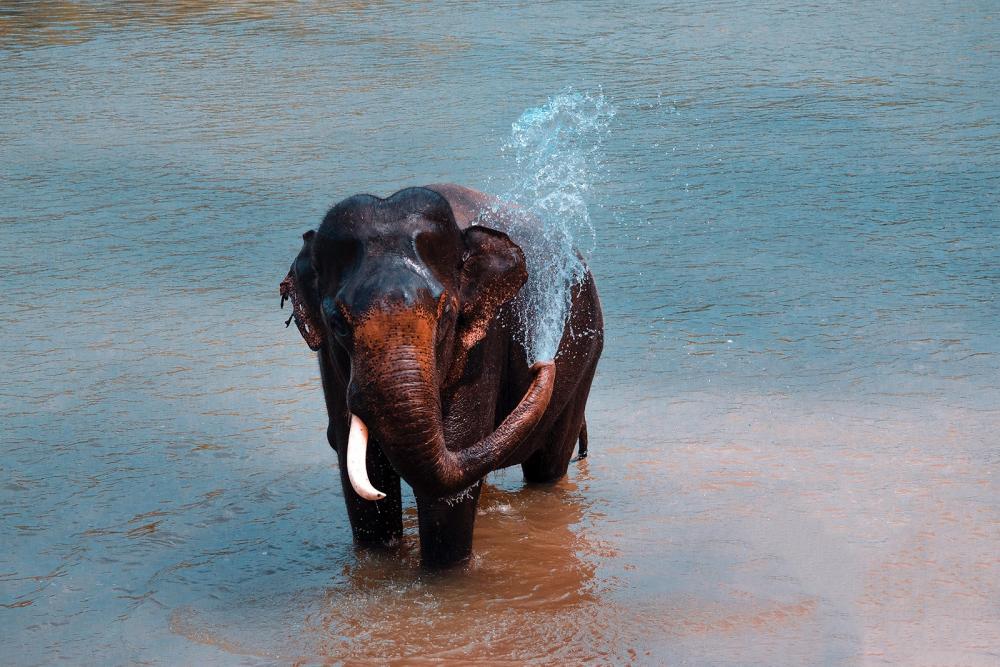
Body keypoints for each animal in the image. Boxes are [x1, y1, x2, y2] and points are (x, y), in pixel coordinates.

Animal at [280, 183, 603, 568]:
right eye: (337, 323)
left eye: (447, 313)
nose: (540, 364)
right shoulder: (330, 363)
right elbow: (361, 467)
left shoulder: (483, 347)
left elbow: (453, 464)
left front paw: (445, 577)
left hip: (586, 354)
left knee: (547, 468)